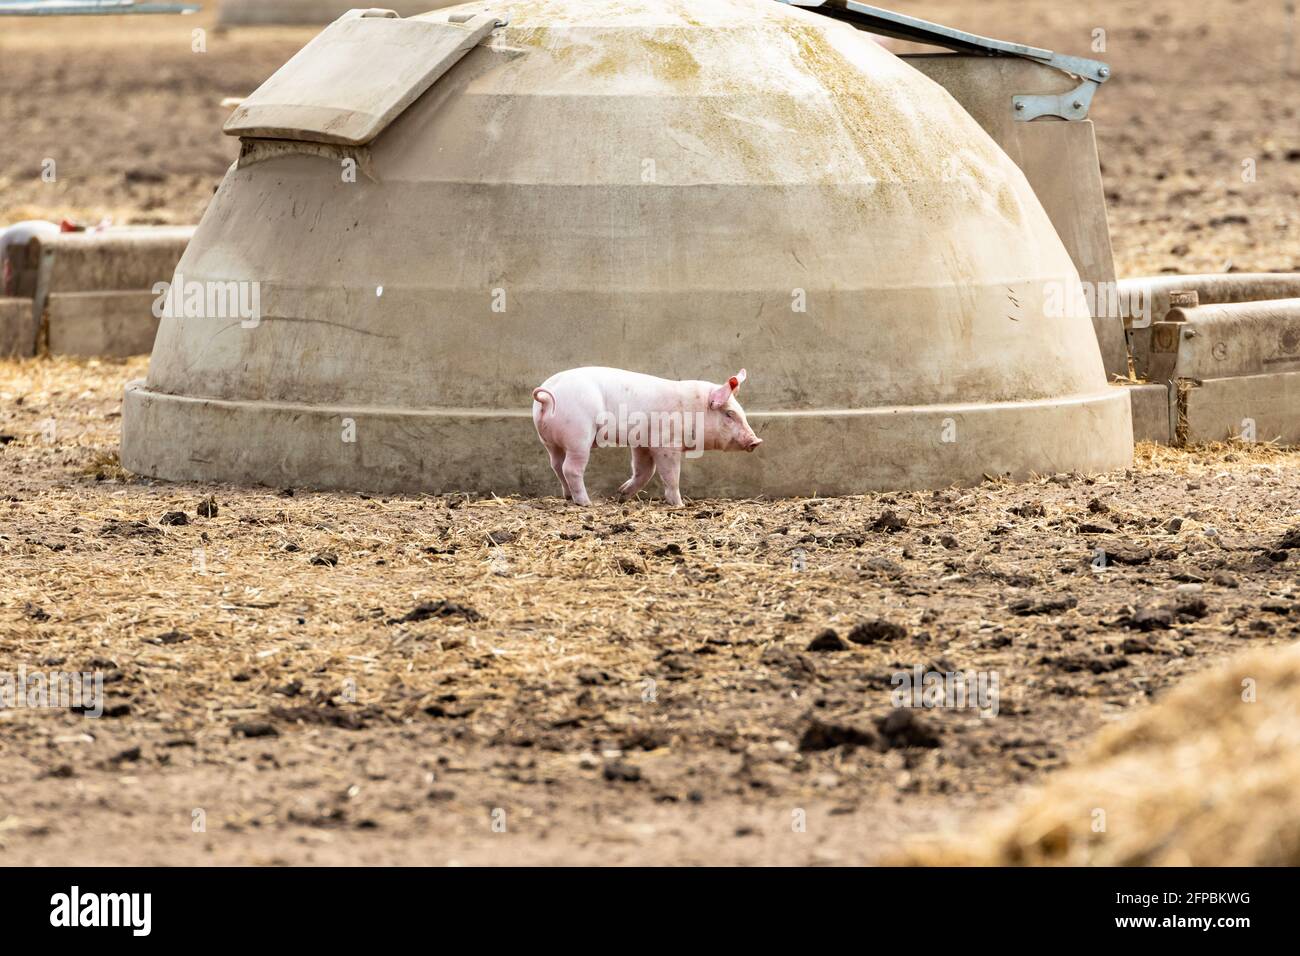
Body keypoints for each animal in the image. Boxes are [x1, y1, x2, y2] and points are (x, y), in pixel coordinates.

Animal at [531, 366, 762, 507]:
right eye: (729, 414)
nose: (756, 441)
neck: (692, 408)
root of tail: (547, 396)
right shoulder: (667, 443)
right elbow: (670, 475)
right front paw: (680, 505)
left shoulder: (642, 443)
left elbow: (644, 471)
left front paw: (621, 496)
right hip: (578, 436)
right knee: (571, 468)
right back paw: (586, 502)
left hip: (549, 441)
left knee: (556, 465)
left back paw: (569, 496)